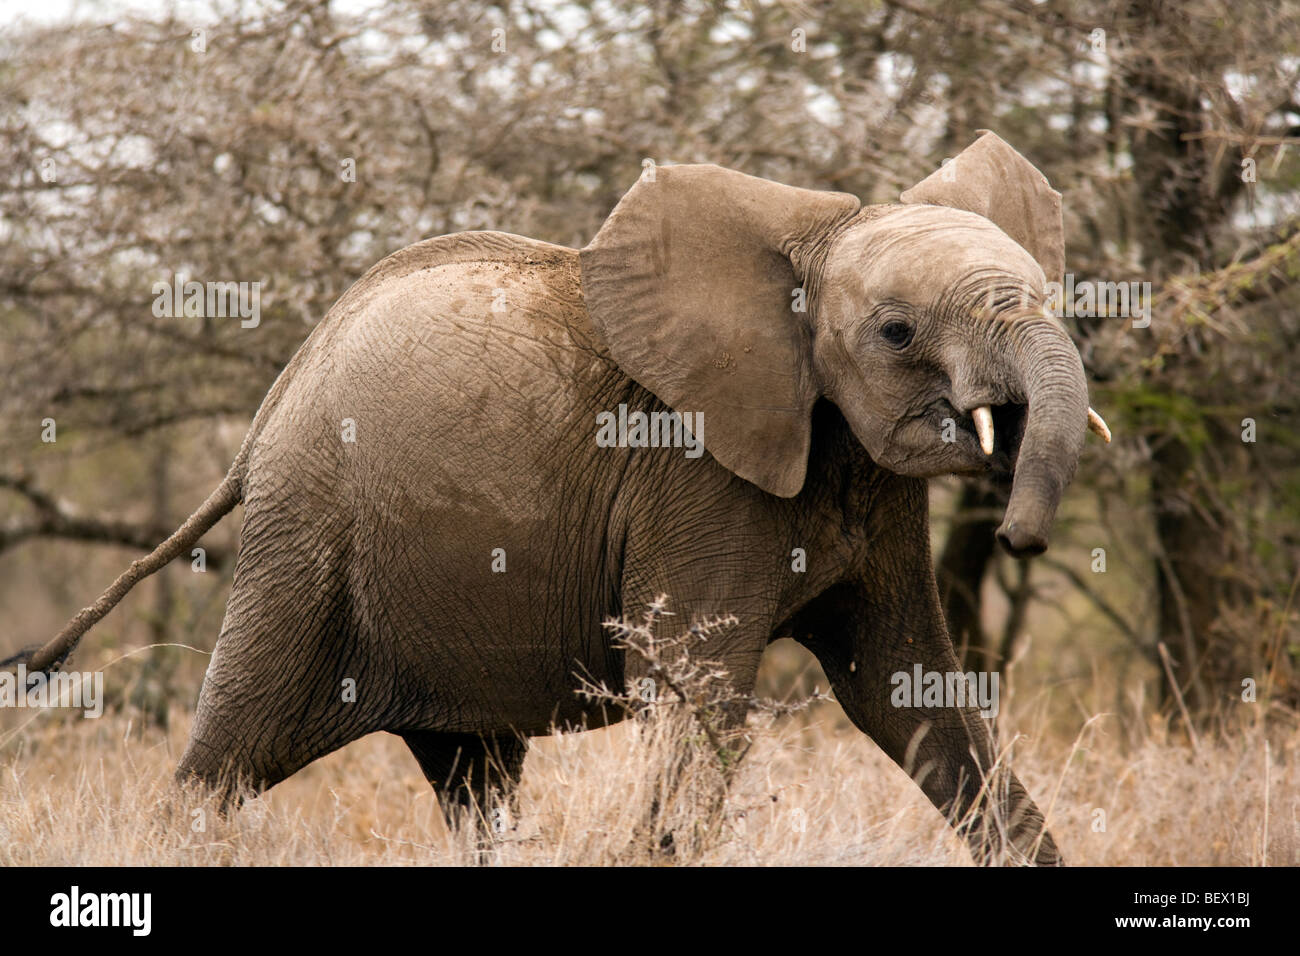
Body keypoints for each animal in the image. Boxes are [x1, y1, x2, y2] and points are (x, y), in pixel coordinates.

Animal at [11, 130, 1110, 865]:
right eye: (894, 331)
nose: (1021, 538)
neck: (809, 234)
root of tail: (265, 411)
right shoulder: (694, 475)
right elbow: (700, 695)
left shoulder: (866, 483)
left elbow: (909, 688)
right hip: (305, 539)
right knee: (231, 752)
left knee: (474, 776)